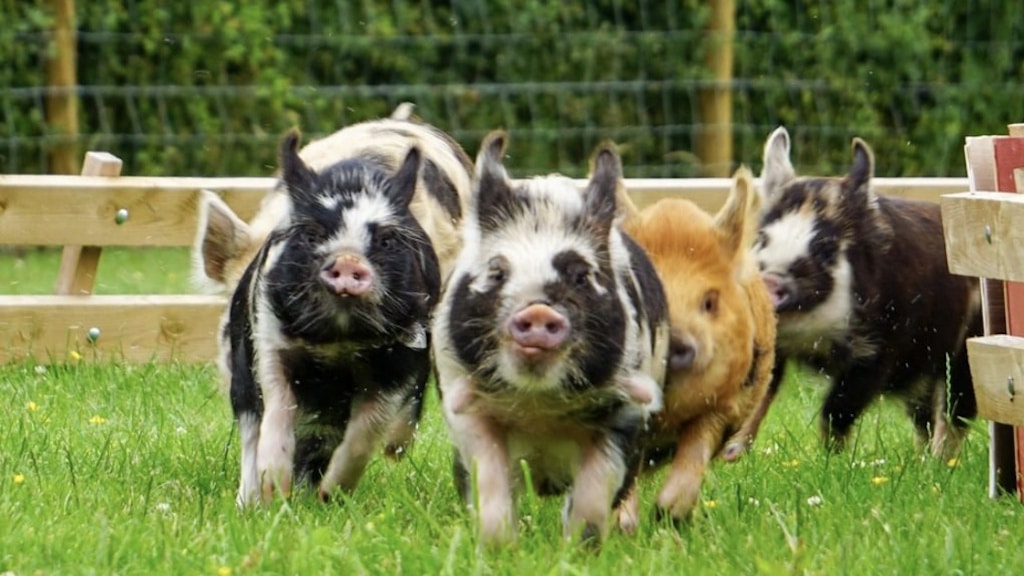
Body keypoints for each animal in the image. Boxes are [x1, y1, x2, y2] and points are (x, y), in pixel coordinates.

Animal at [432, 131, 670, 546]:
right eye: (497, 272)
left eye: (581, 276)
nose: (539, 311)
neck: (538, 408)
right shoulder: (464, 403)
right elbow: (488, 480)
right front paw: (498, 546)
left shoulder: (627, 409)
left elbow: (595, 491)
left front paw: (578, 548)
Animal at [618, 166, 776, 521]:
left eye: (709, 302)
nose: (674, 341)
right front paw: (626, 525)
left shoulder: (726, 405)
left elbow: (696, 445)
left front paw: (668, 512)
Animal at [747, 127, 982, 457]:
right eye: (762, 238)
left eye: (825, 247)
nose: (770, 279)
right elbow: (759, 394)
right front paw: (732, 454)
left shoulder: (880, 349)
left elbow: (837, 409)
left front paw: (831, 458)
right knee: (924, 416)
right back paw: (922, 460)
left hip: (965, 354)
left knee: (955, 413)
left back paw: (939, 462)